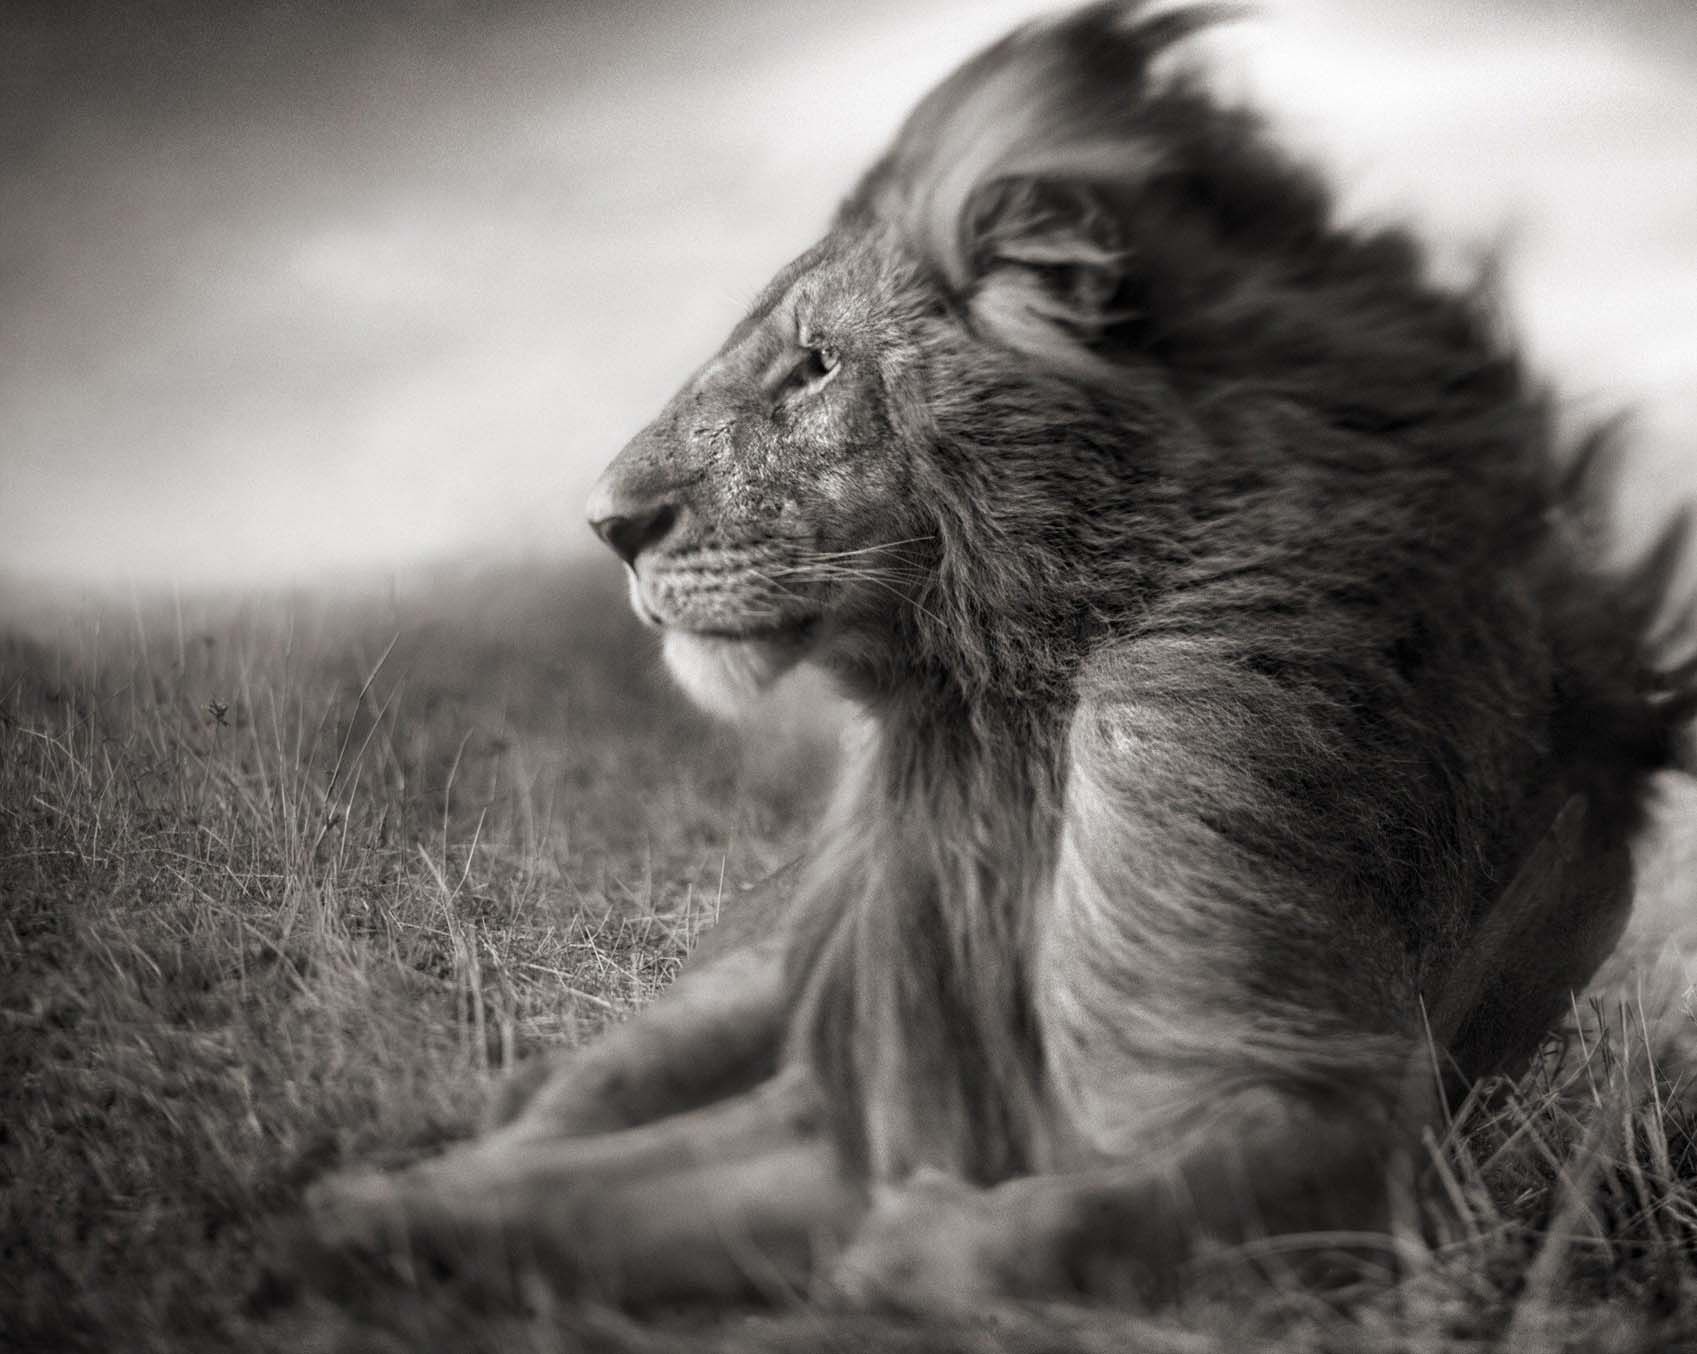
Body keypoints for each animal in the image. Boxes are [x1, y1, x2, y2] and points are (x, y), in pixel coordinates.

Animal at [306, 0, 1696, 1309]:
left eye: (815, 366)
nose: (606, 525)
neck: (1004, 714)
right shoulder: (864, 1086)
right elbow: (555, 1193)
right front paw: (347, 1216)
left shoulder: (1351, 1123)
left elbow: (1073, 1218)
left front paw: (907, 1247)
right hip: (750, 975)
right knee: (571, 1095)